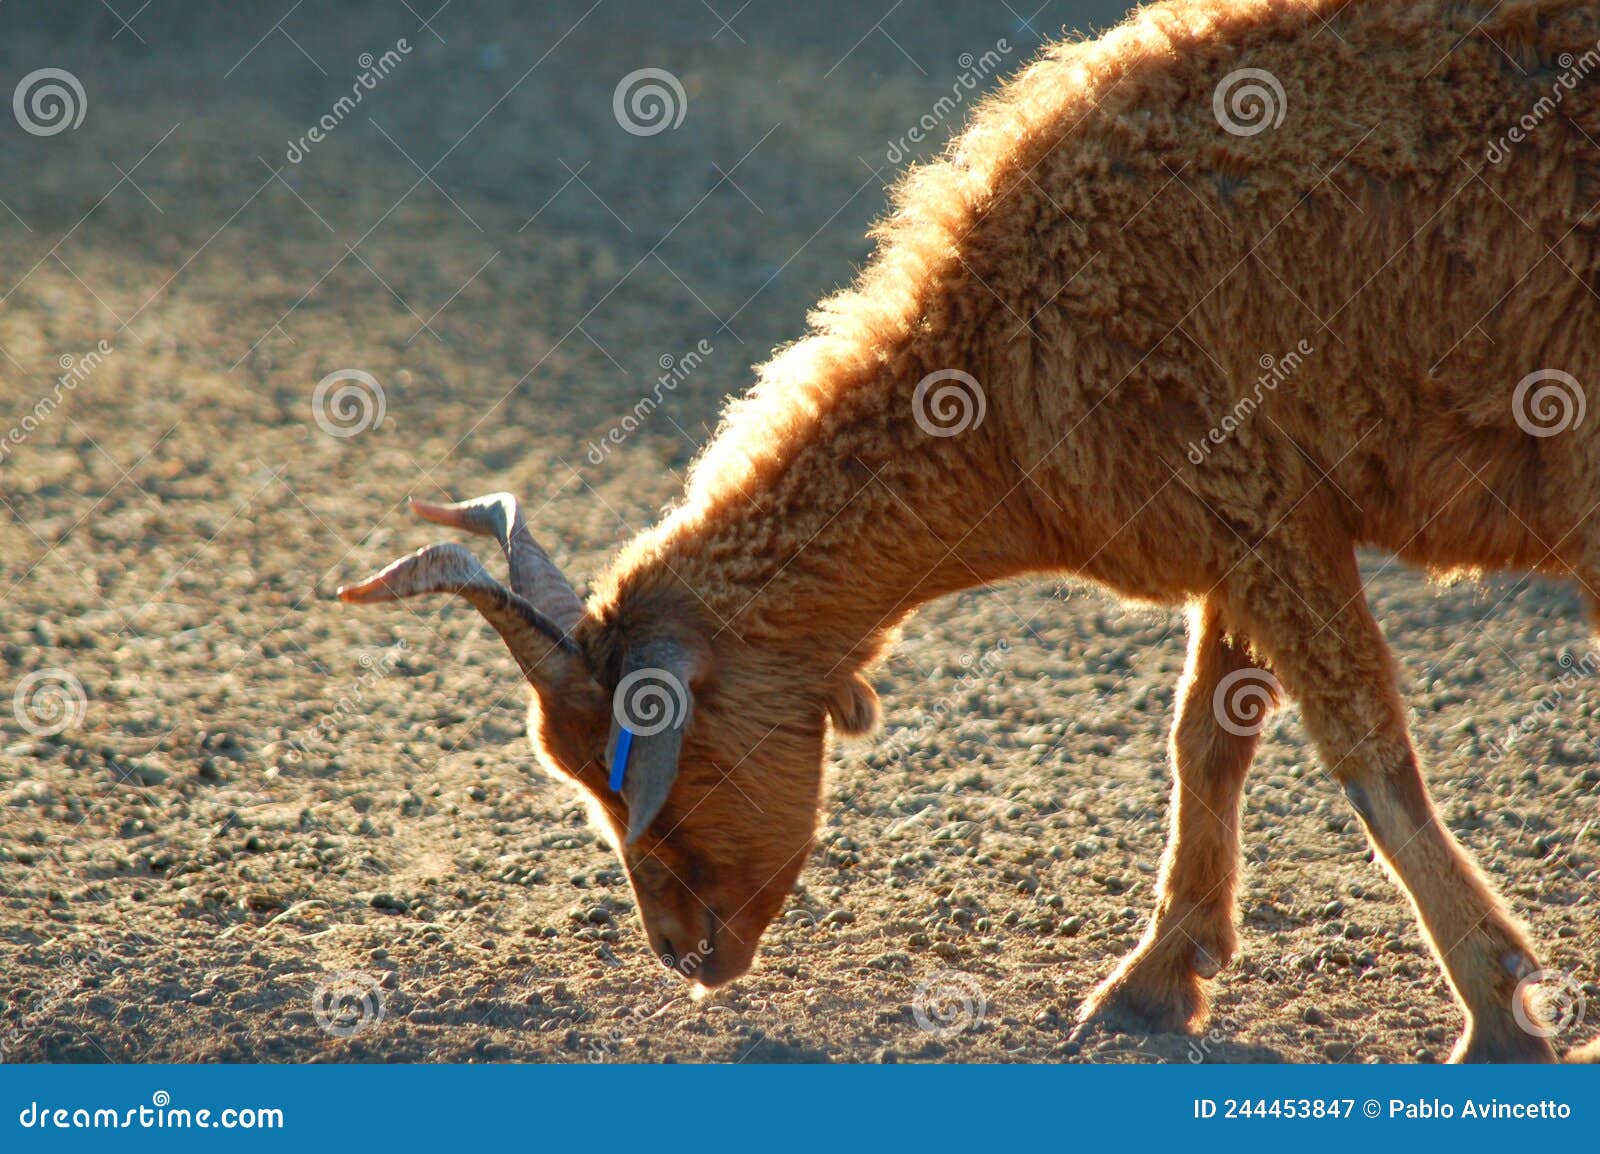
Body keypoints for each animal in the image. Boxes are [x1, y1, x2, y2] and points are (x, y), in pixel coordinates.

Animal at [339, 0, 1600, 1062]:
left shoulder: (1258, 498)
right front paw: (1154, 977)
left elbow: (1359, 740)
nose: (682, 951)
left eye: (634, 756)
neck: (997, 347)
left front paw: (1498, 1013)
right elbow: (1209, 733)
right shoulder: (1247, 516)